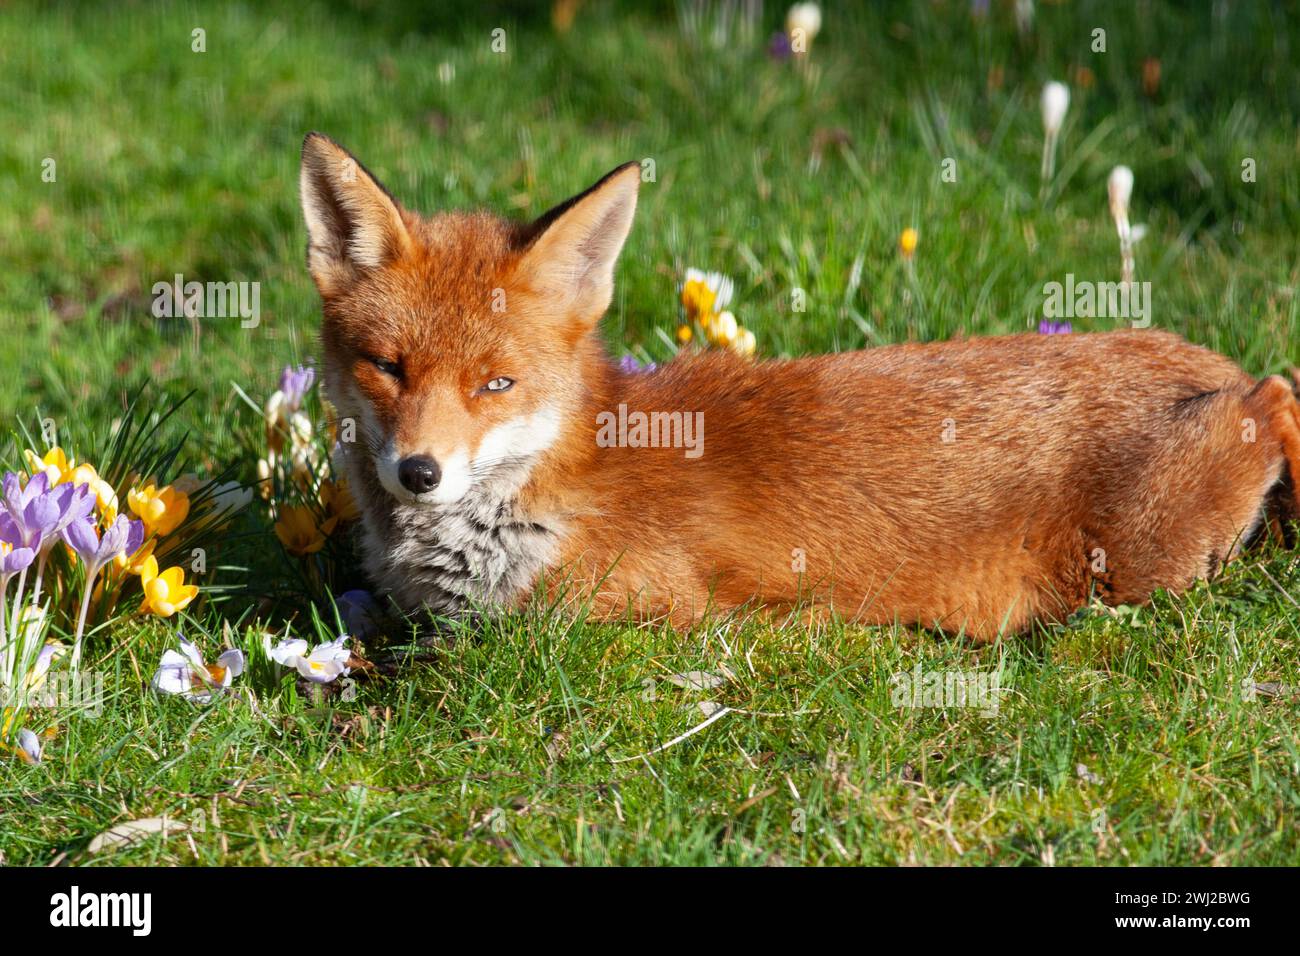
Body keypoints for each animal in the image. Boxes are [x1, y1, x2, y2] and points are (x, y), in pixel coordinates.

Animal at [299, 132, 1300, 642]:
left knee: (1281, 391)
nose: (418, 472)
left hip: (1137, 560)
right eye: (388, 367)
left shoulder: (626, 619)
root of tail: (1201, 358)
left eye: (496, 383)